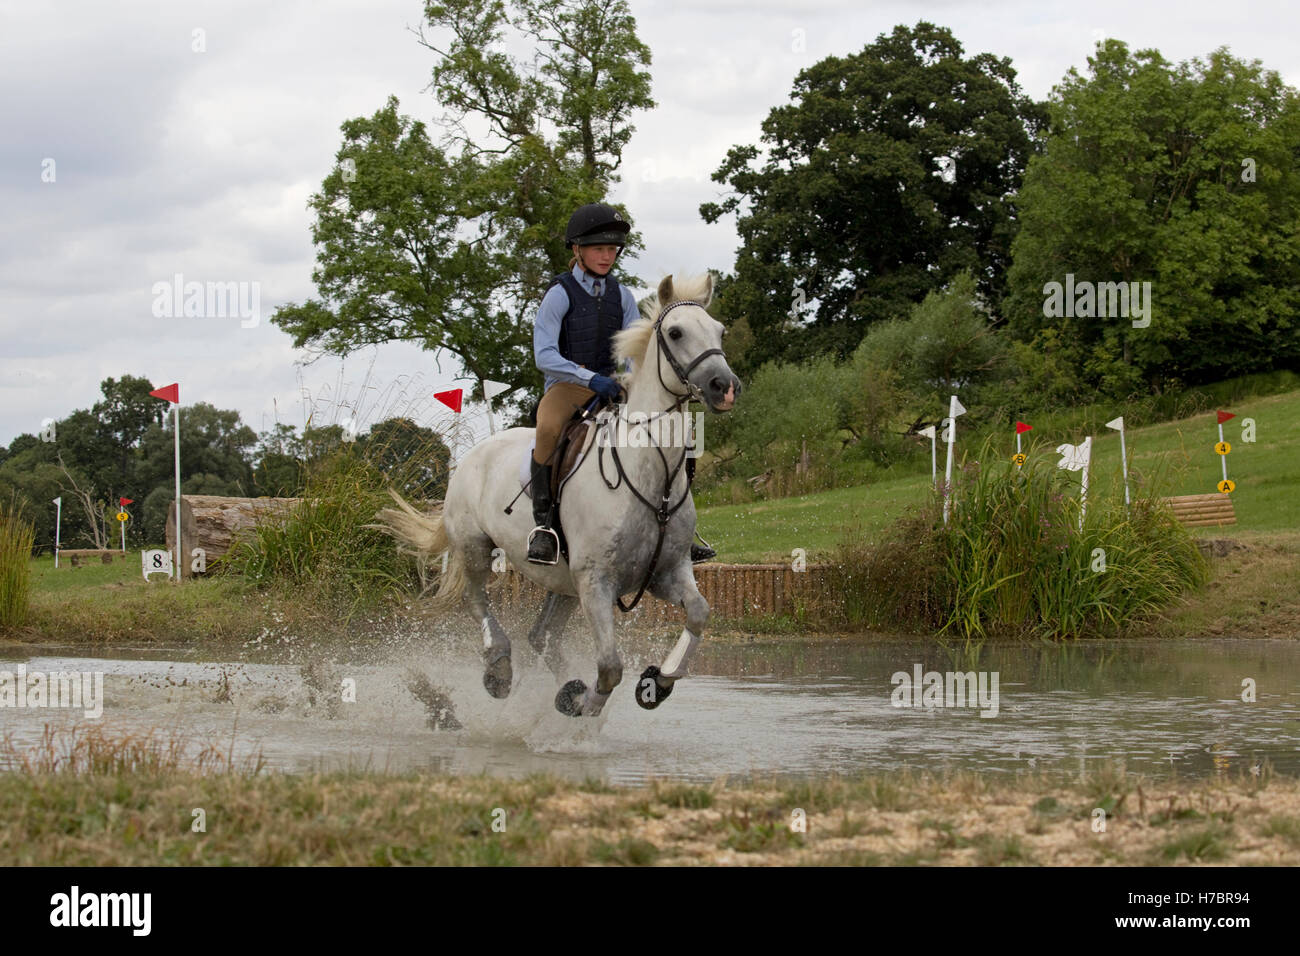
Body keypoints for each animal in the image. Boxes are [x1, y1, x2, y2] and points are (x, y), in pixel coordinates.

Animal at [374, 273, 741, 718]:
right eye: (675, 332)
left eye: (719, 331)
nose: (725, 387)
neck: (651, 476)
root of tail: (473, 454)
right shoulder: (596, 582)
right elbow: (610, 668)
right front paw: (583, 702)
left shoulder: (666, 573)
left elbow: (700, 613)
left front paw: (658, 681)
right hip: (477, 549)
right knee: (476, 599)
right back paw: (500, 668)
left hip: (563, 580)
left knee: (542, 634)